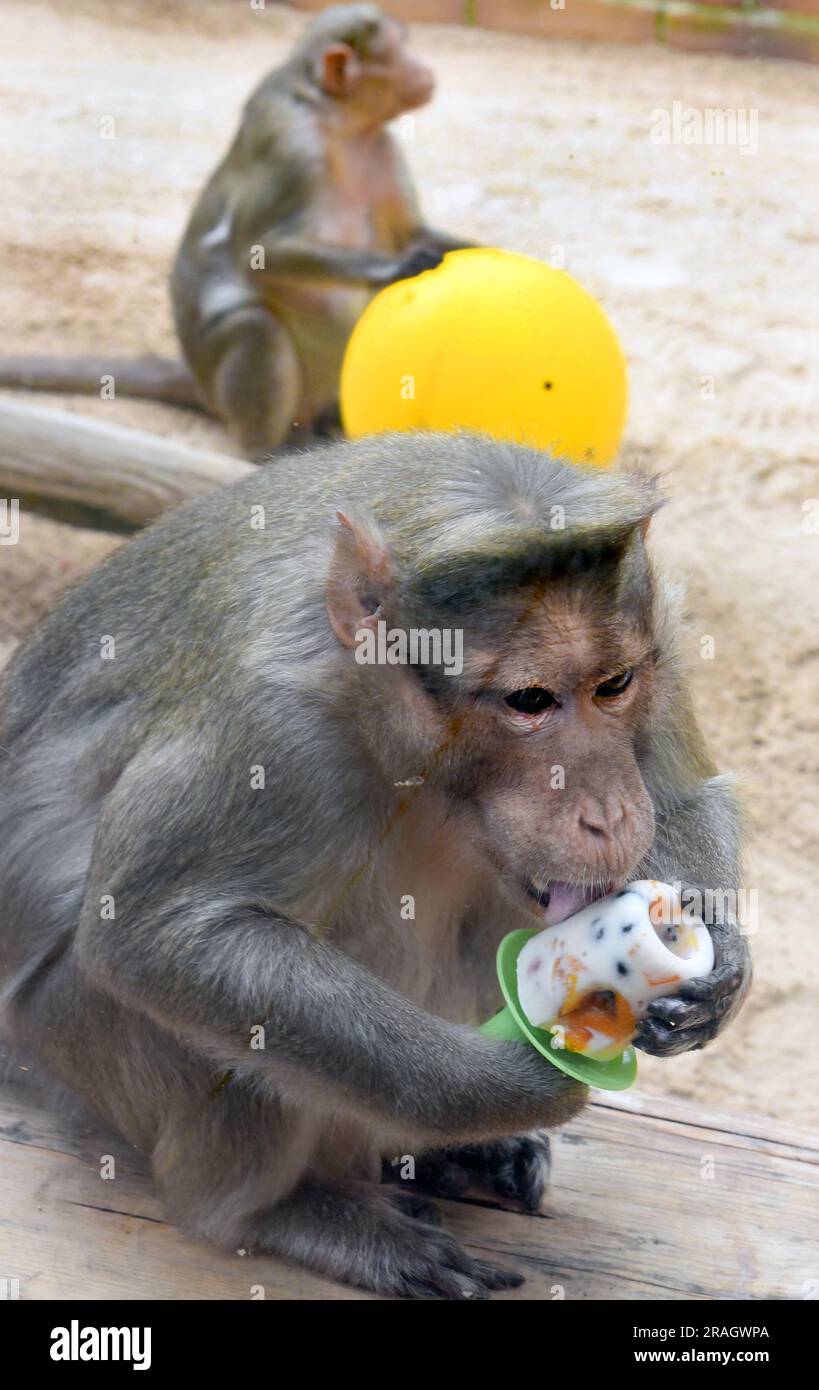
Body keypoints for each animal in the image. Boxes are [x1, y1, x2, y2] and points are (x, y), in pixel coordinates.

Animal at [0, 5, 471, 458]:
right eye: (399, 51)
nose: (425, 69)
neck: (339, 122)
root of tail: (200, 382)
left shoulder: (382, 148)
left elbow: (412, 234)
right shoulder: (292, 150)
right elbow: (256, 253)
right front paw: (393, 266)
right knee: (254, 327)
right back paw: (266, 449)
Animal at [0, 432, 751, 1299]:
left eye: (614, 684)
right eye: (529, 701)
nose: (610, 816)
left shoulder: (657, 620)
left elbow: (685, 796)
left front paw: (720, 968)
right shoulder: (275, 723)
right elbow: (160, 935)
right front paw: (499, 1083)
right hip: (81, 1053)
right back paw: (280, 1213)